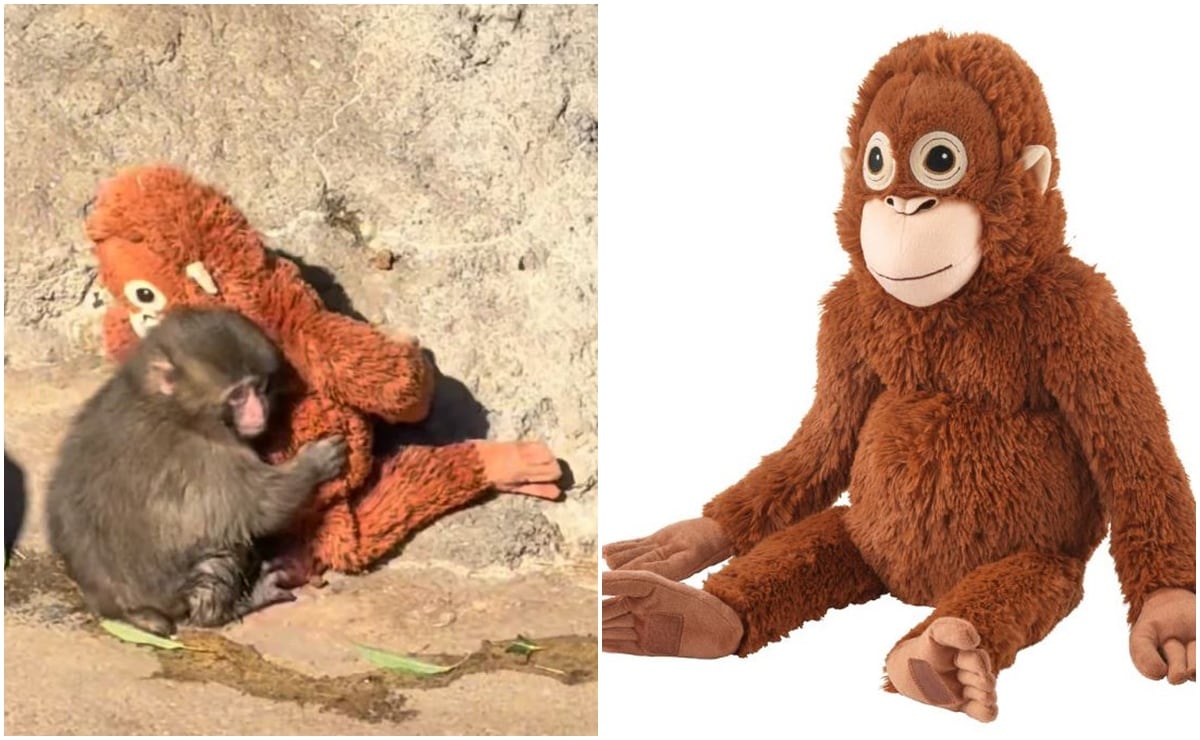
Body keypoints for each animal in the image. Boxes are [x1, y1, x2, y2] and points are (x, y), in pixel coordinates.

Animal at [45, 307, 347, 637]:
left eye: (258, 387)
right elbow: (262, 507)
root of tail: (117, 608)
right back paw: (229, 608)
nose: (260, 412)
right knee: (221, 551)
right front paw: (316, 462)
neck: (170, 405)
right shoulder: (208, 454)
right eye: (238, 395)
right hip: (176, 592)